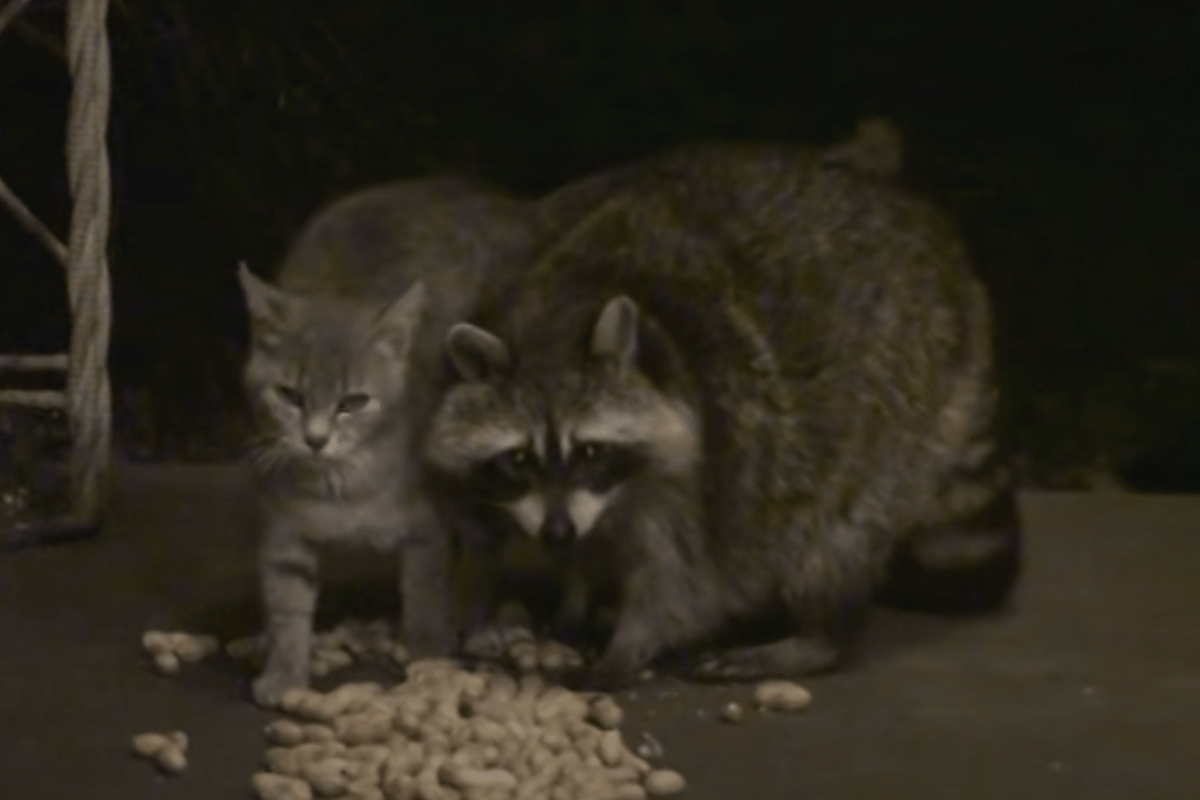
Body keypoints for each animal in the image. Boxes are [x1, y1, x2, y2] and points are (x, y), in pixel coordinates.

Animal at [237, 175, 542, 706]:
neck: (340, 487)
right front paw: (284, 672)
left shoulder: (426, 529)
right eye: (289, 395)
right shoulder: (282, 536)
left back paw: (477, 624)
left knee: (484, 548)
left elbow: (425, 592)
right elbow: (286, 607)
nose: (315, 440)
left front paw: (426, 655)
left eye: (353, 402)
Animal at [422, 140, 1022, 689]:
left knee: (837, 526)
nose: (556, 533)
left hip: (899, 396)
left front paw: (629, 643)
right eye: (518, 459)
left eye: (590, 450)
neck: (559, 317)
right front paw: (577, 596)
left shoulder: (706, 465)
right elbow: (589, 550)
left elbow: (686, 582)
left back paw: (817, 637)